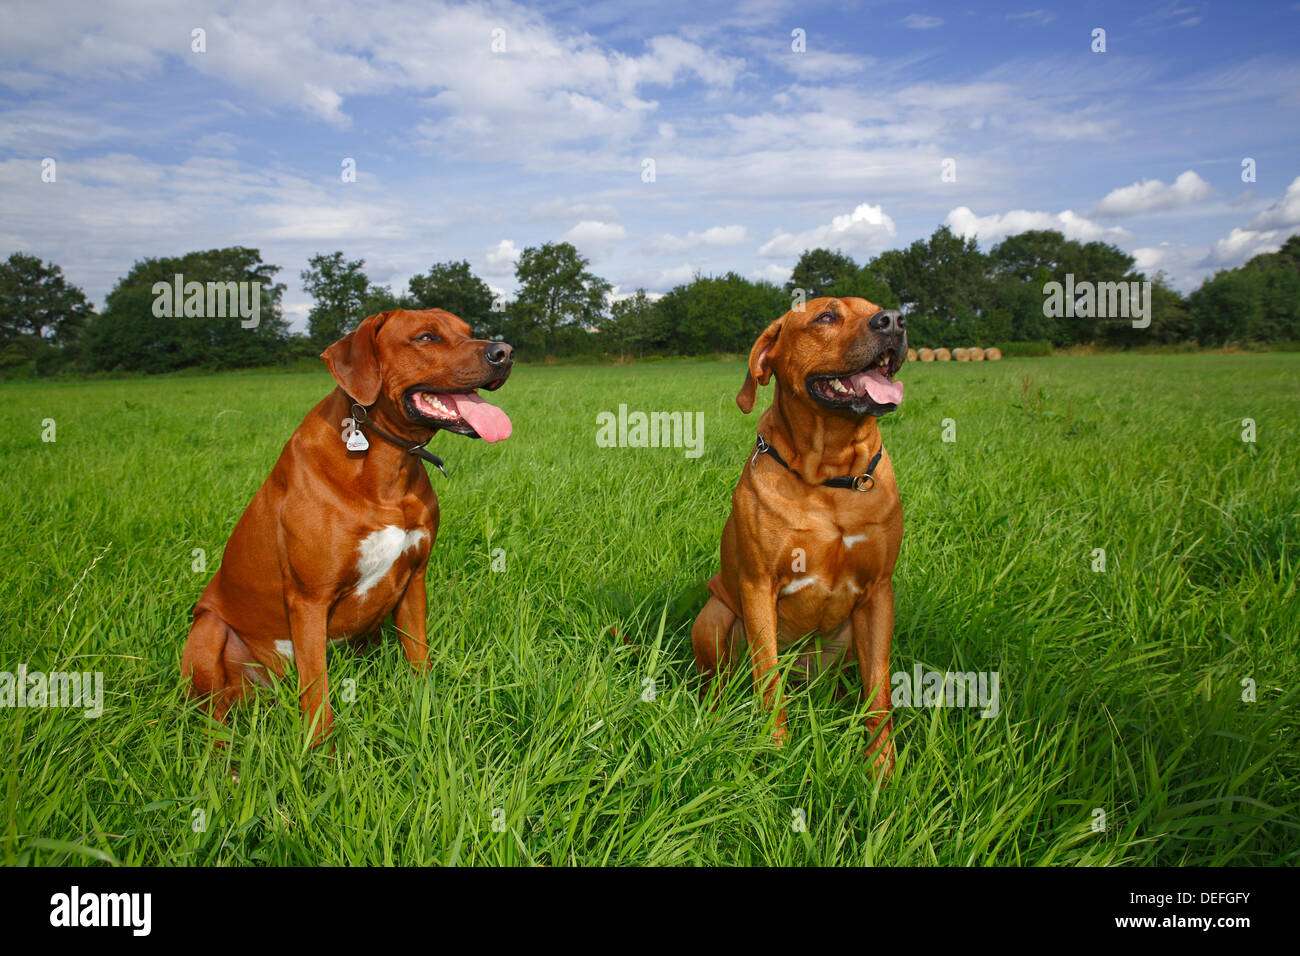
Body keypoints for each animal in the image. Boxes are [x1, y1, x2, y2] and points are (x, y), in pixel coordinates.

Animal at [182, 310, 512, 743]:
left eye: (469, 331)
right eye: (426, 337)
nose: (505, 351)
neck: (385, 471)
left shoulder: (414, 578)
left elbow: (418, 655)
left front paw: (428, 709)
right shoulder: (308, 600)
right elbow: (317, 692)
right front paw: (321, 750)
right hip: (206, 631)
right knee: (214, 714)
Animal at [691, 295, 904, 775]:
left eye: (877, 307)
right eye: (826, 316)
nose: (895, 321)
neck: (831, 478)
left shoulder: (880, 592)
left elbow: (879, 692)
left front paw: (881, 768)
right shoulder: (757, 587)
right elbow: (768, 679)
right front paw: (773, 751)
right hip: (713, 617)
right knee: (721, 680)